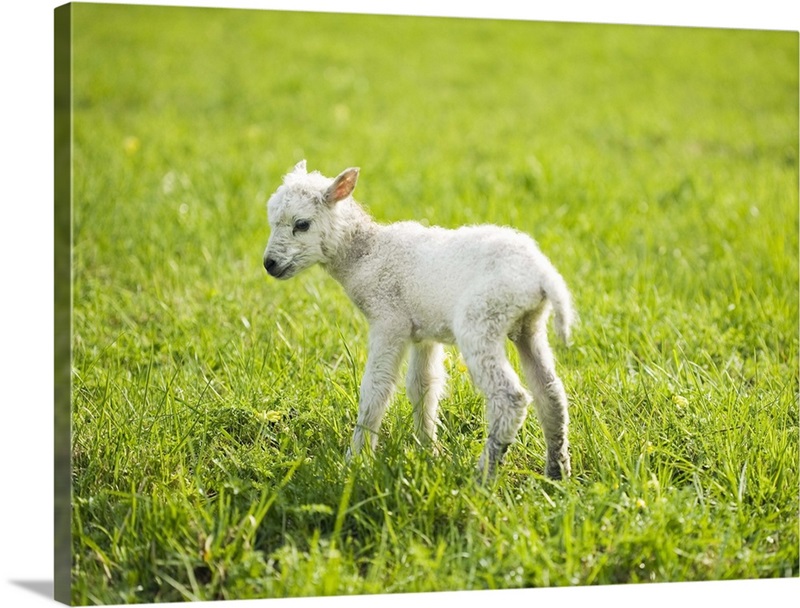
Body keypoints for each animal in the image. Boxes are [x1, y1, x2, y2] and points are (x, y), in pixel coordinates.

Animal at [263, 160, 575, 480]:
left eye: (302, 224)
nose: (269, 264)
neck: (366, 254)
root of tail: (543, 275)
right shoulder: (424, 332)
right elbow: (422, 386)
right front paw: (429, 450)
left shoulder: (389, 321)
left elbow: (375, 388)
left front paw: (356, 460)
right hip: (529, 325)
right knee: (551, 392)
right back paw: (557, 471)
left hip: (481, 319)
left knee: (510, 398)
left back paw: (482, 477)